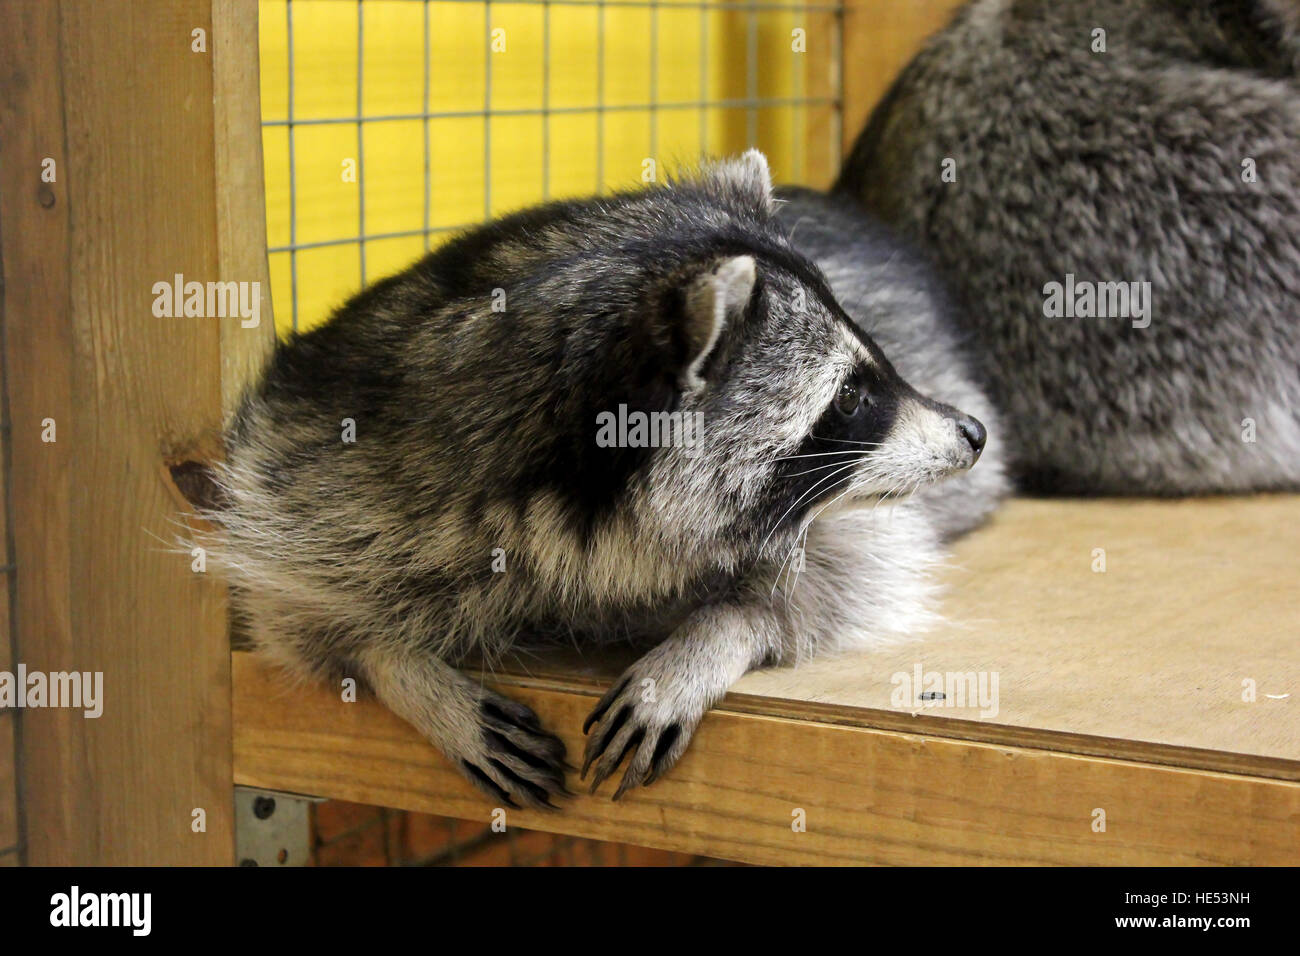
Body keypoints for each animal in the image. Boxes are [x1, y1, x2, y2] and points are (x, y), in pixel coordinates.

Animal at [213, 152, 1004, 805]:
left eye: (870, 364)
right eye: (849, 397)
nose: (971, 434)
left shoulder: (829, 513)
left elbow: (853, 571)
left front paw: (720, 631)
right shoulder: (326, 465)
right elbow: (290, 606)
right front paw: (402, 669)